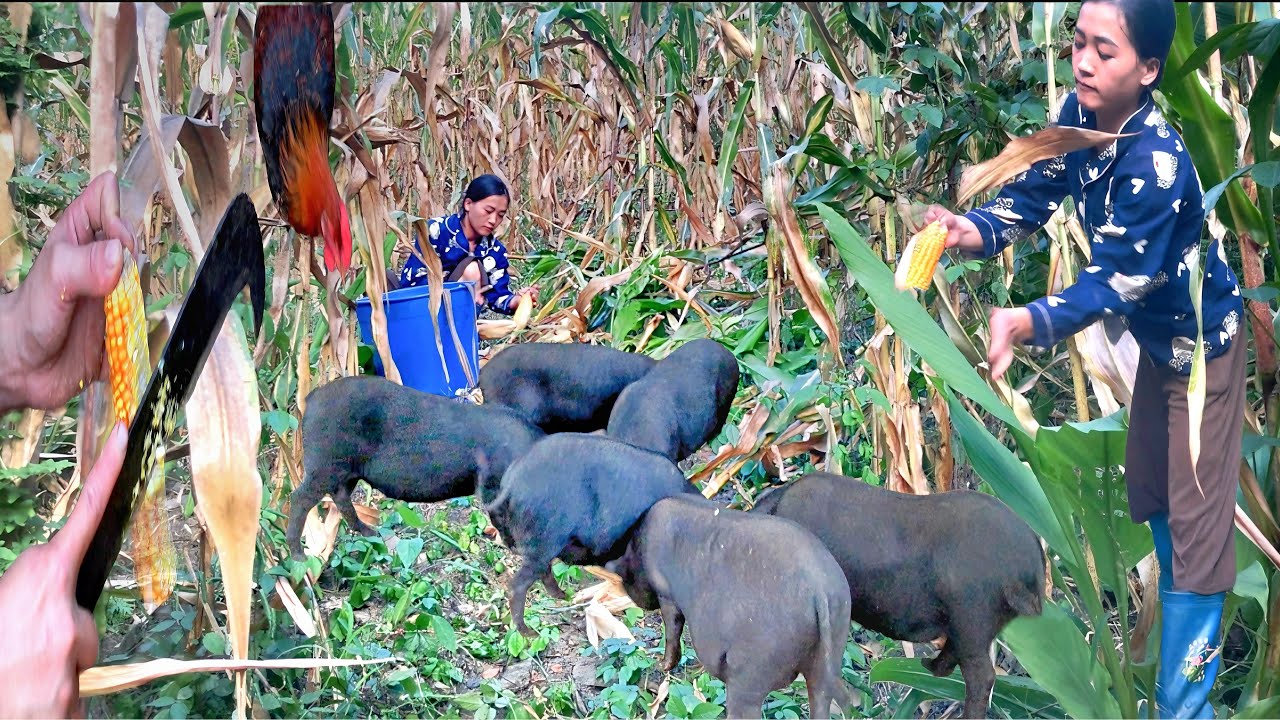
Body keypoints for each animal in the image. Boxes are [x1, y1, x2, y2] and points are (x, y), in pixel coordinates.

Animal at [284, 375, 545, 560]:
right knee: (299, 498)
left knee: (340, 498)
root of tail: (310, 399)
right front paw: (516, 548)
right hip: (324, 467)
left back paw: (370, 532)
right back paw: (298, 556)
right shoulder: (494, 490)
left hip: (346, 471)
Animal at [479, 432, 696, 637]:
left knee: (543, 573)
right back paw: (530, 633)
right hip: (544, 541)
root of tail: (510, 487)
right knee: (517, 585)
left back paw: (565, 596)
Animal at [607, 493, 857, 720]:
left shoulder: (666, 592)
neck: (639, 547)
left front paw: (662, 666)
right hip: (835, 637)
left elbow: (672, 627)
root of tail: (819, 591)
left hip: (753, 666)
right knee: (826, 697)